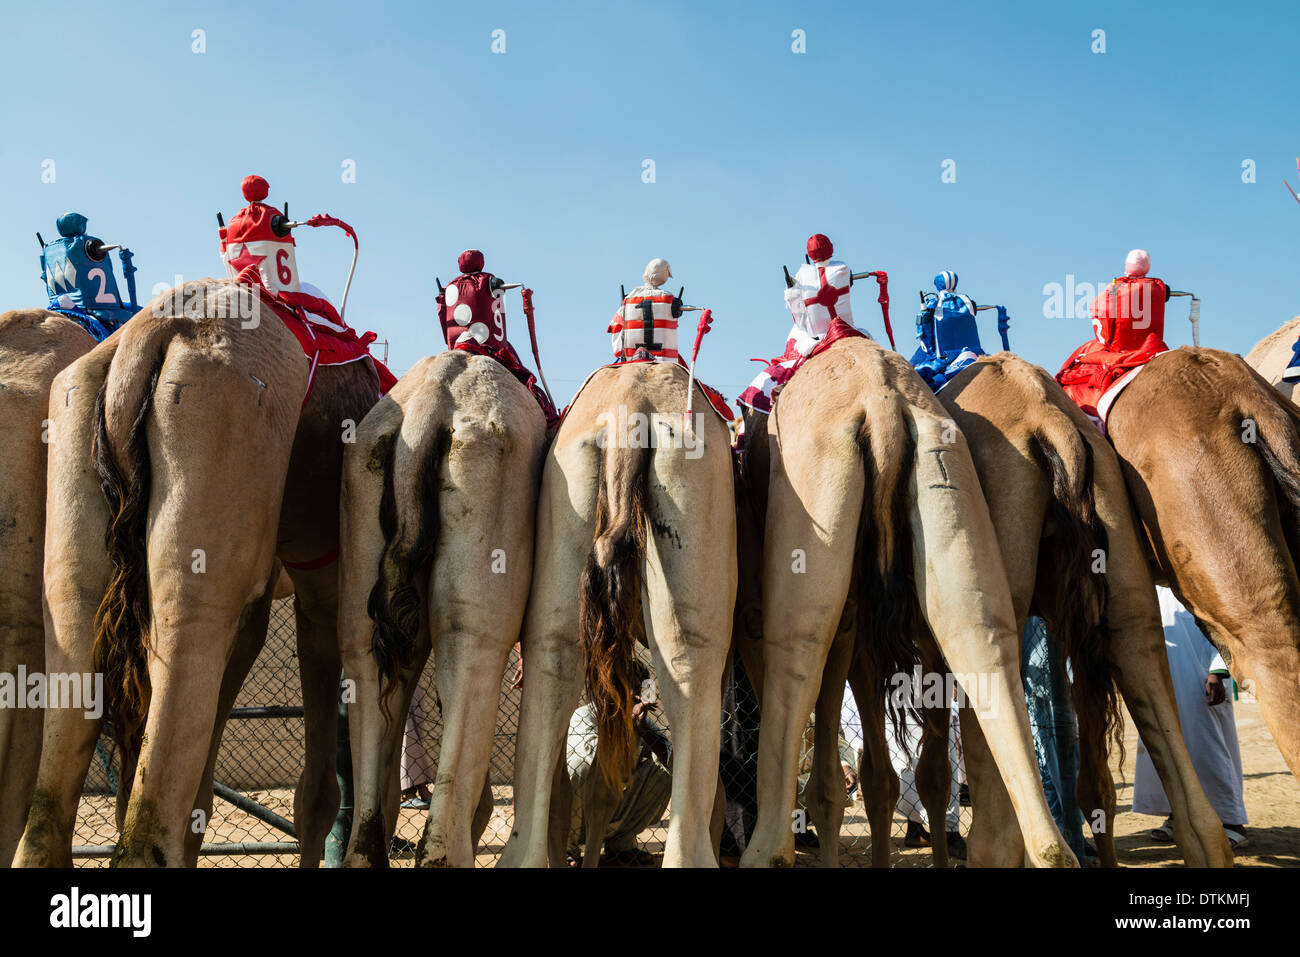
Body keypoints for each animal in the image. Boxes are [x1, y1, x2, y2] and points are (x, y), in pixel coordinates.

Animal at [738, 335, 1077, 868]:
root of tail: (880, 400)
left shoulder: (849, 633)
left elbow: (861, 779)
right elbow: (915, 776)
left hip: (812, 506)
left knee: (799, 646)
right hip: (944, 466)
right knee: (976, 632)